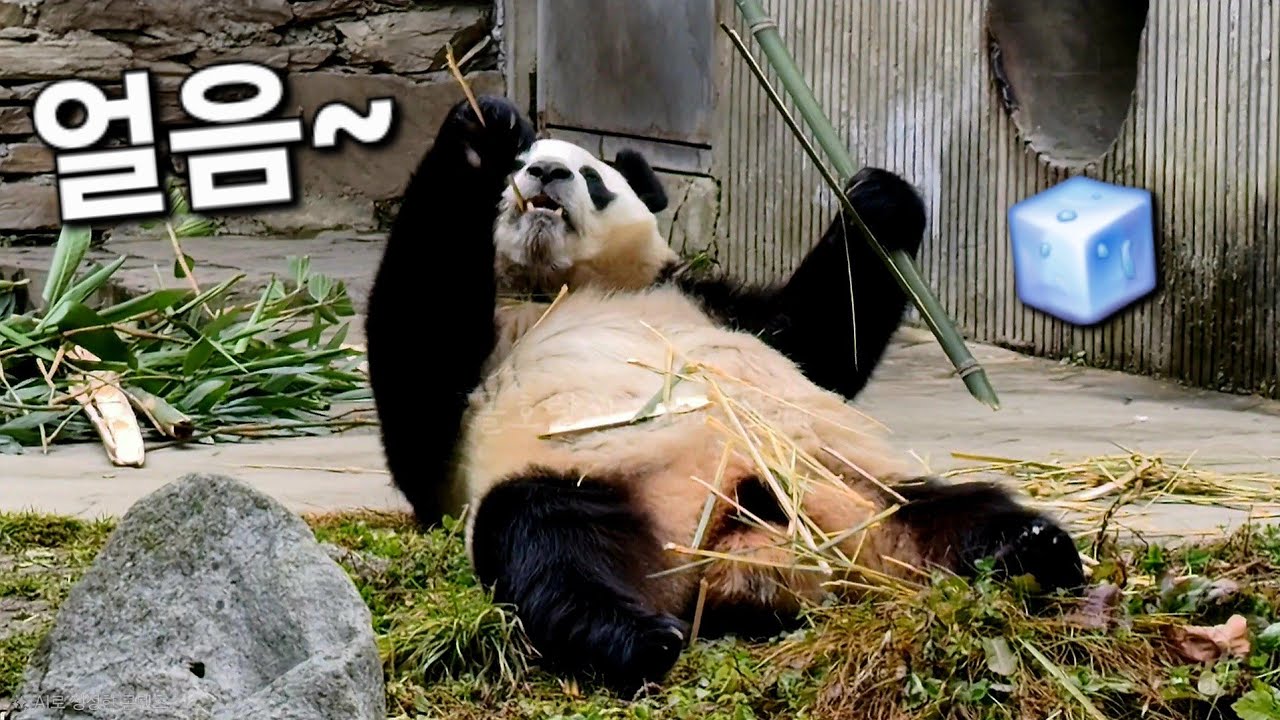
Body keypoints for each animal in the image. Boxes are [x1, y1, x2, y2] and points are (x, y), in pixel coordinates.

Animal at [365, 95, 1085, 693]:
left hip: (857, 482)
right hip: (602, 485)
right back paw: (637, 640)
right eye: (522, 163)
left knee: (963, 511)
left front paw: (879, 201)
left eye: (593, 178)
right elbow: (417, 359)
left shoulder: (704, 301)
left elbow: (817, 339)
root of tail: (754, 554)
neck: (556, 285)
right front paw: (480, 133)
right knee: (547, 542)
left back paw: (1035, 551)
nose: (545, 174)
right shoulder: (475, 380)